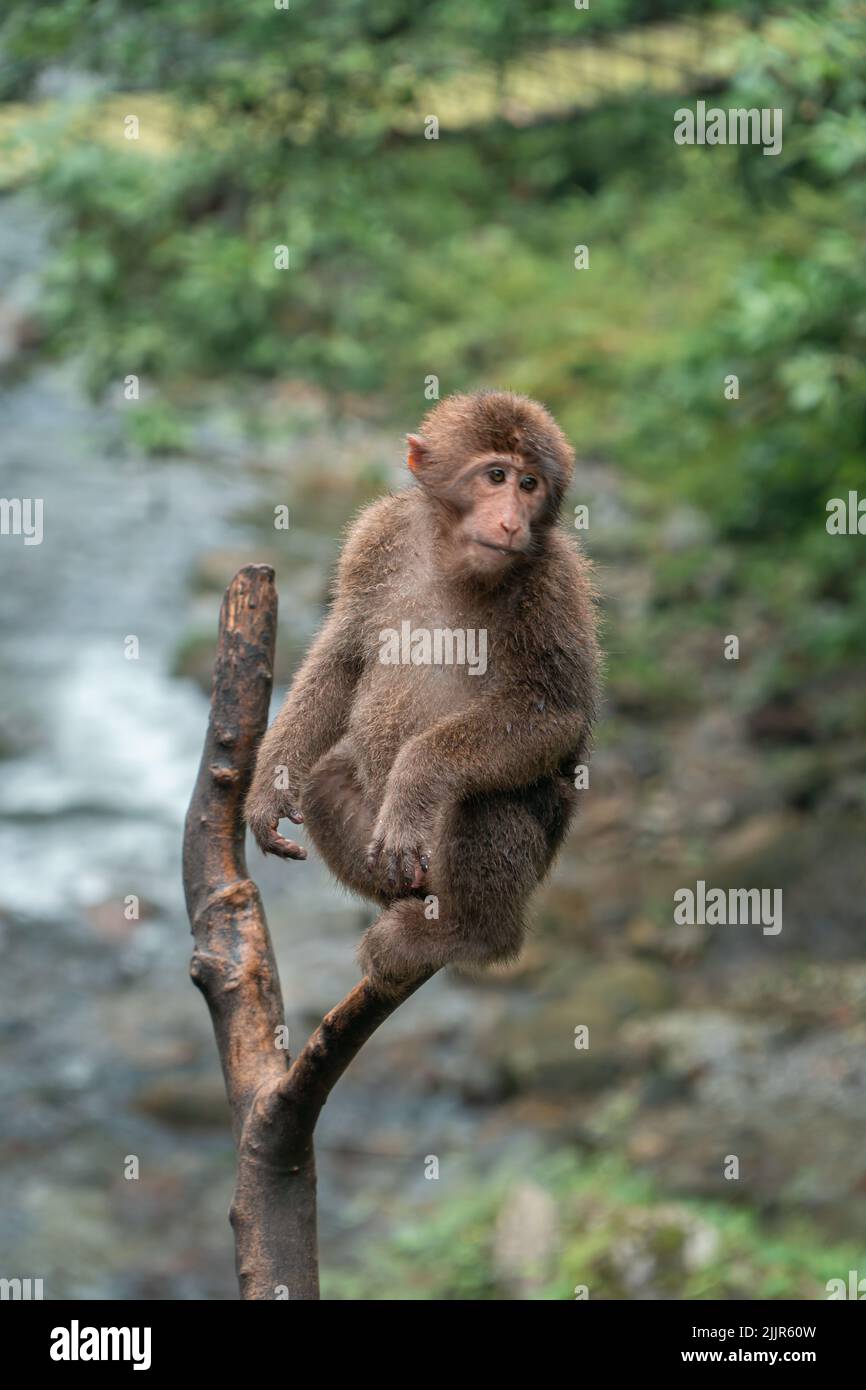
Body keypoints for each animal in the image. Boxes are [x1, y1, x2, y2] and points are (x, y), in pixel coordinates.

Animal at [245, 390, 601, 995]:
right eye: (497, 475)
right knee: (330, 780)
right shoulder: (375, 536)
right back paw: (405, 902)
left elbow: (555, 713)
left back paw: (470, 935)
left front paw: (417, 776)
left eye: (530, 485)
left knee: (486, 796)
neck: (452, 556)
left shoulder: (553, 581)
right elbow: (343, 659)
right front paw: (273, 783)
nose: (511, 521)